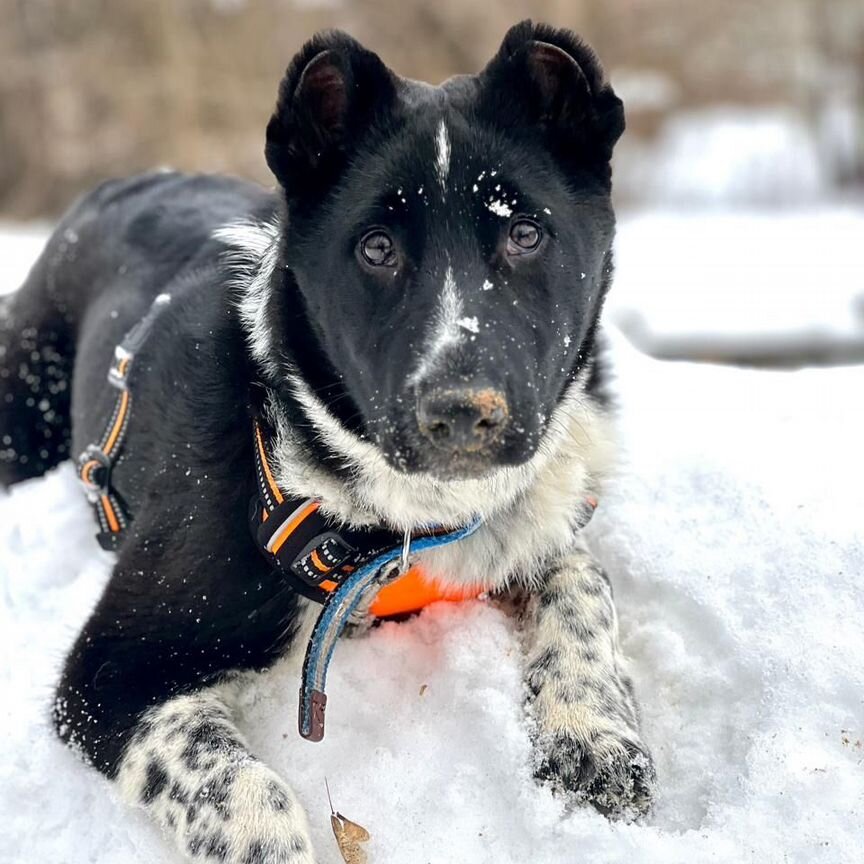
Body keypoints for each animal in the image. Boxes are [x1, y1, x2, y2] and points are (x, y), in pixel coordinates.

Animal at [0, 20, 656, 864]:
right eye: (375, 248)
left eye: (525, 232)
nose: (460, 413)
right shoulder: (107, 672)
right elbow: (245, 792)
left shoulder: (542, 518)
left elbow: (582, 583)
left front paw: (595, 737)